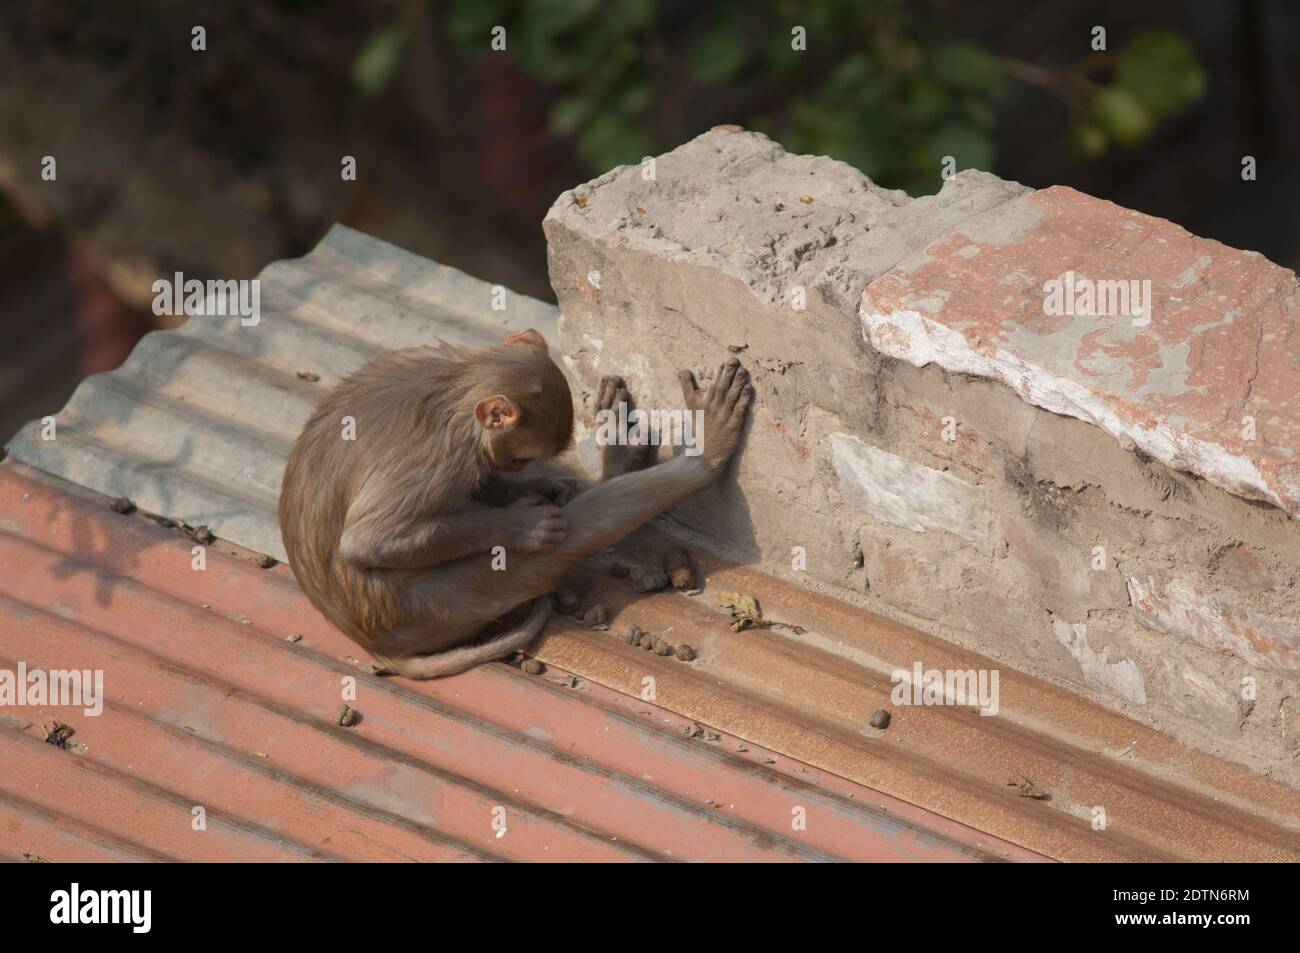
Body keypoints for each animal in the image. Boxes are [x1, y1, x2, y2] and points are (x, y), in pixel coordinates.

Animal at [278, 327, 753, 678]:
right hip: (441, 603)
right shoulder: (442, 454)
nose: (514, 466)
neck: (454, 386)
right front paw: (522, 524)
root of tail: (368, 640)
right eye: (521, 457)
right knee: (569, 534)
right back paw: (703, 457)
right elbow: (369, 543)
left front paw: (531, 490)